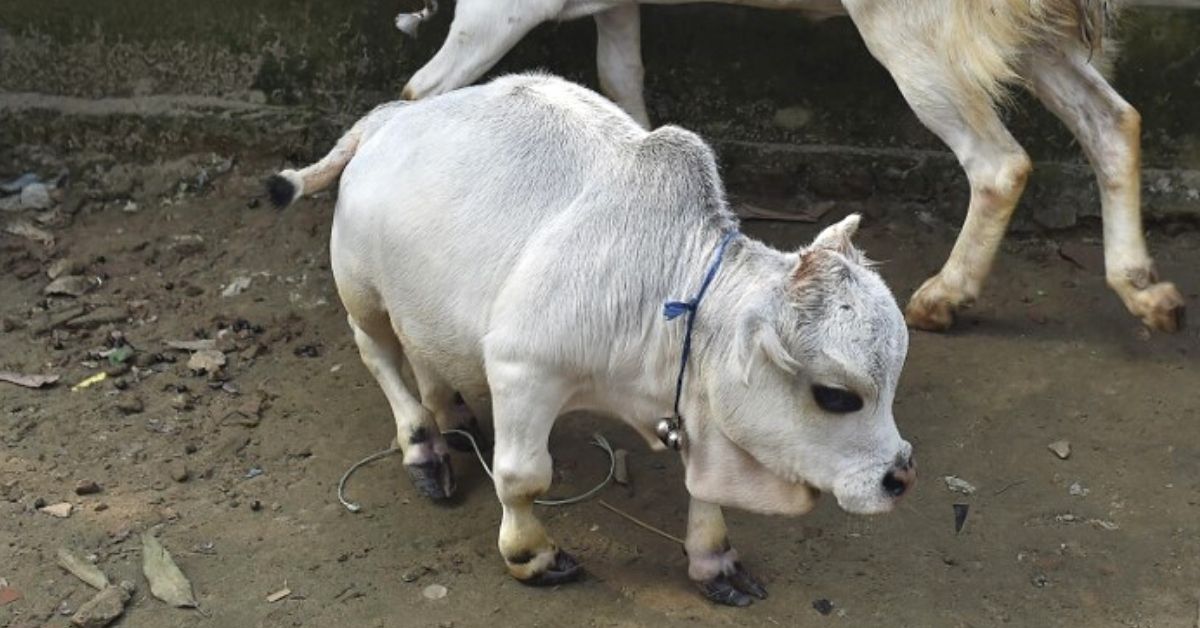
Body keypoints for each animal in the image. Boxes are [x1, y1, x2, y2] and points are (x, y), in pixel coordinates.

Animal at [267, 73, 915, 606]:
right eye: (836, 395)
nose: (900, 478)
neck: (664, 289)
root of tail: (390, 116)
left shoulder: (699, 406)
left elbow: (703, 490)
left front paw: (714, 561)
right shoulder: (521, 368)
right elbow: (523, 478)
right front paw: (531, 555)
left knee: (425, 356)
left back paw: (450, 414)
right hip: (361, 291)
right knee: (380, 356)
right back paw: (423, 446)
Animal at [394, 0, 1185, 333]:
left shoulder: (497, 9)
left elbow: (423, 95)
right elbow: (624, 86)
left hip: (916, 32)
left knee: (1000, 163)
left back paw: (943, 298)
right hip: (1034, 33)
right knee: (1112, 122)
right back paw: (1147, 291)